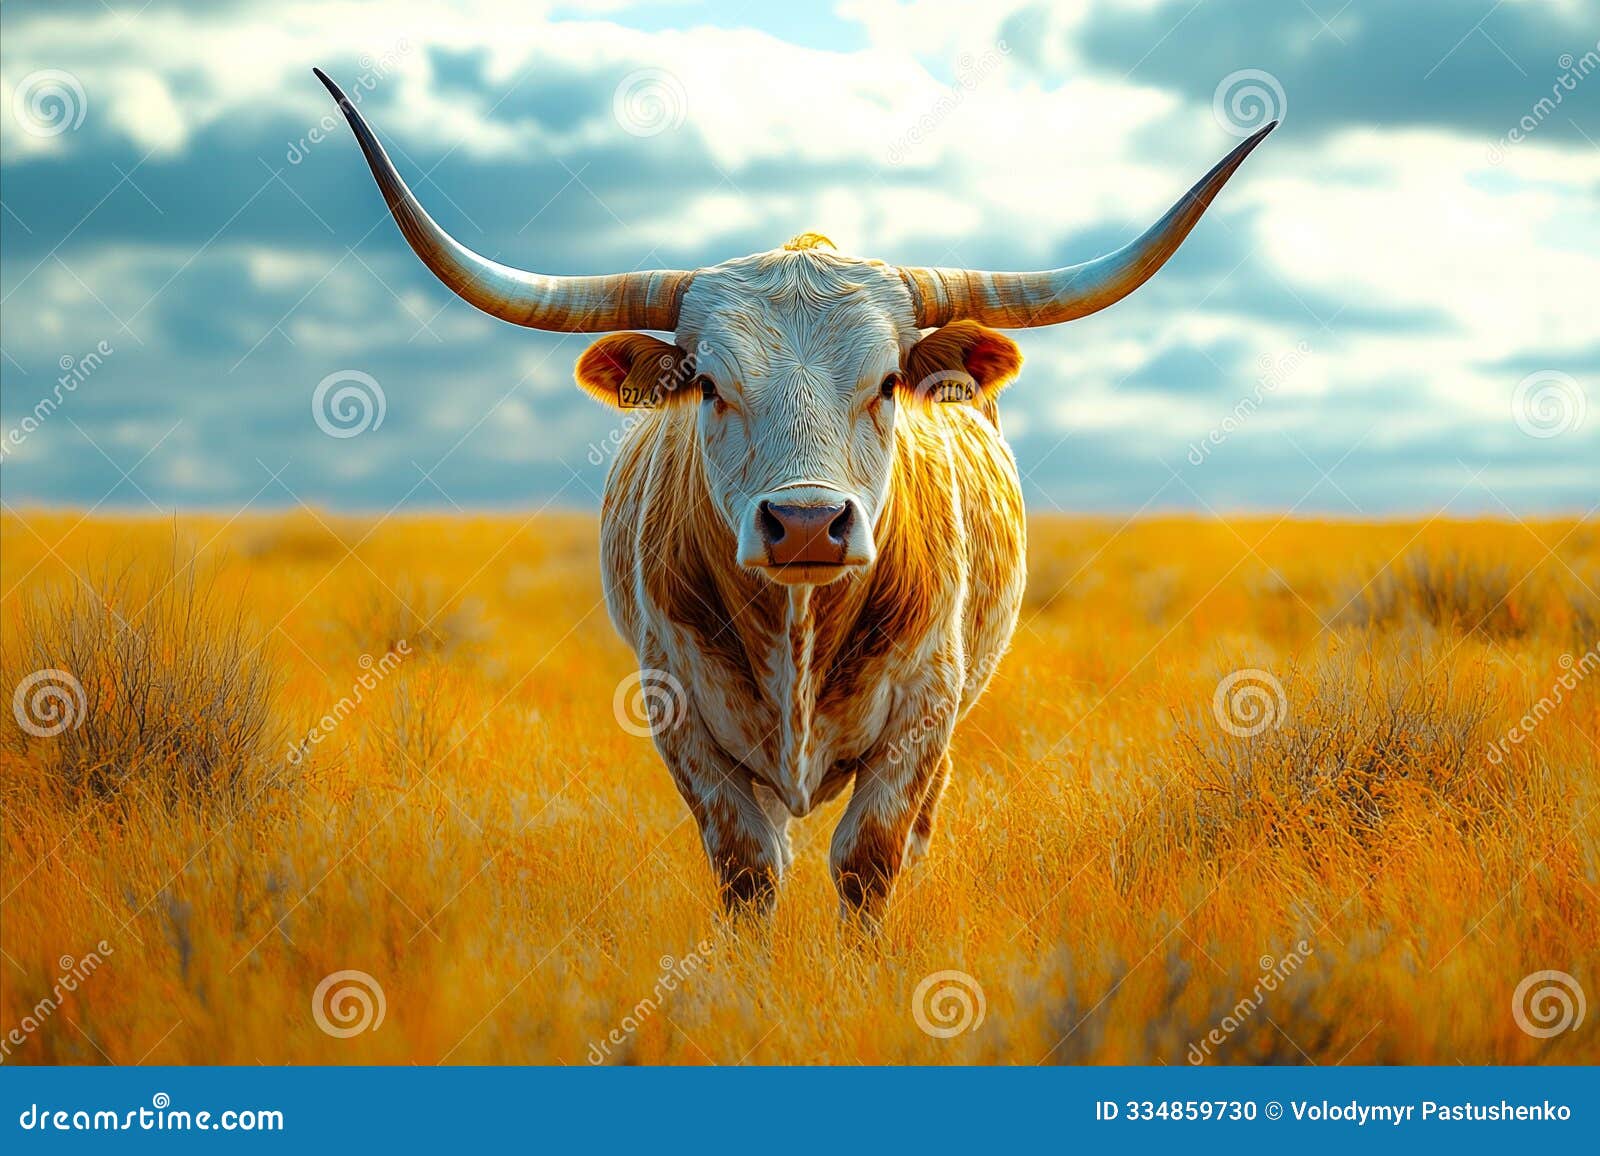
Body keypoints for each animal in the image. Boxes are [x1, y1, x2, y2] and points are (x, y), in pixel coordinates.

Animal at [316, 68, 1274, 923]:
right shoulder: (678, 707)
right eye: (708, 386)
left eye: (886, 384)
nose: (807, 524)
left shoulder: (927, 706)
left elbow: (870, 857)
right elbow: (748, 864)